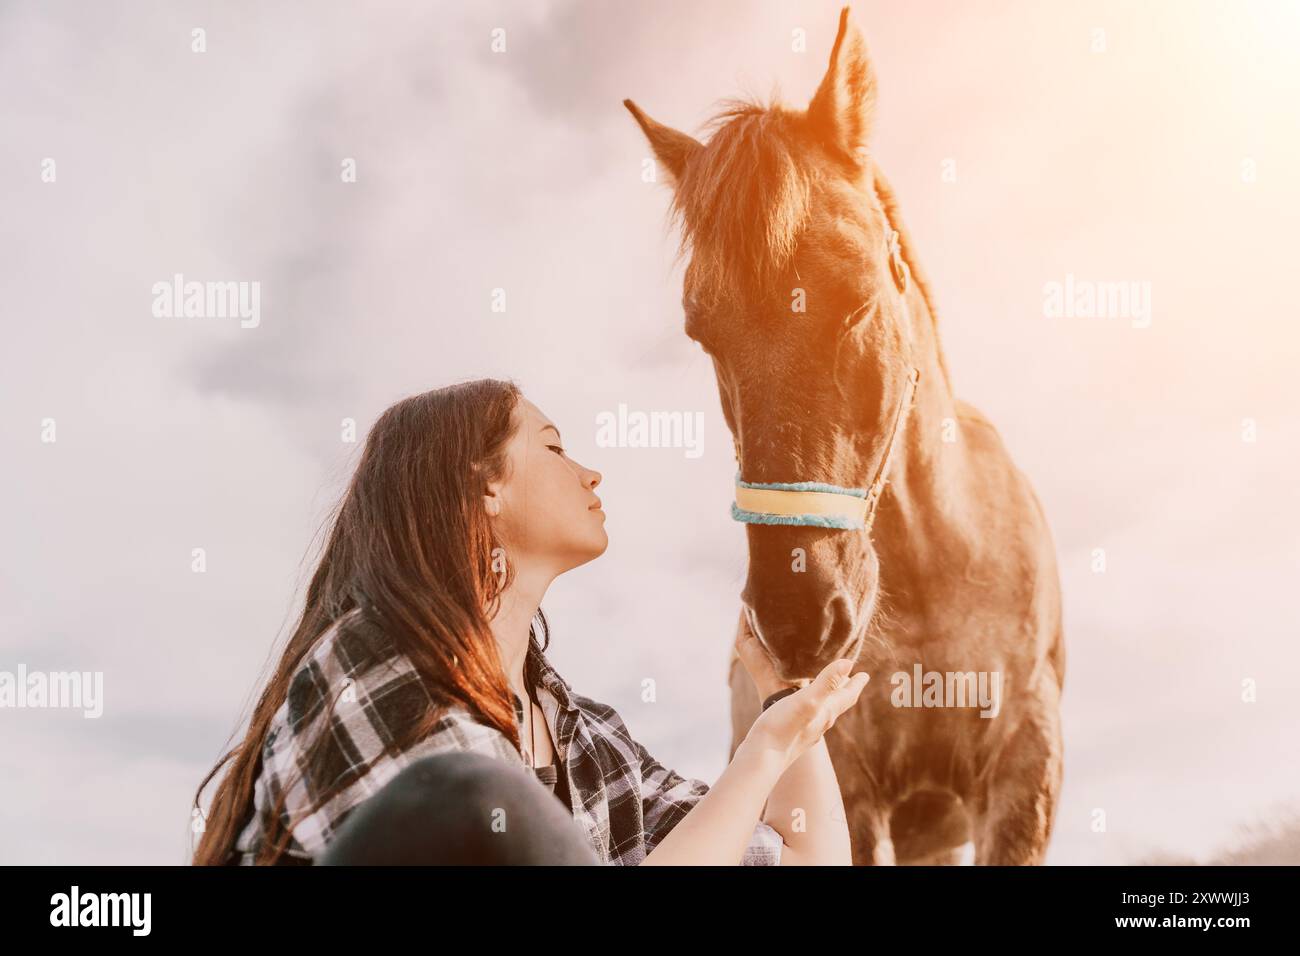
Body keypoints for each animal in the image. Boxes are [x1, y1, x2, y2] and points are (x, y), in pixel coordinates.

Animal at [624, 6, 1065, 865]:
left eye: (859, 294)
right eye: (701, 332)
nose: (798, 619)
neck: (934, 573)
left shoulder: (1024, 769)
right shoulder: (853, 789)